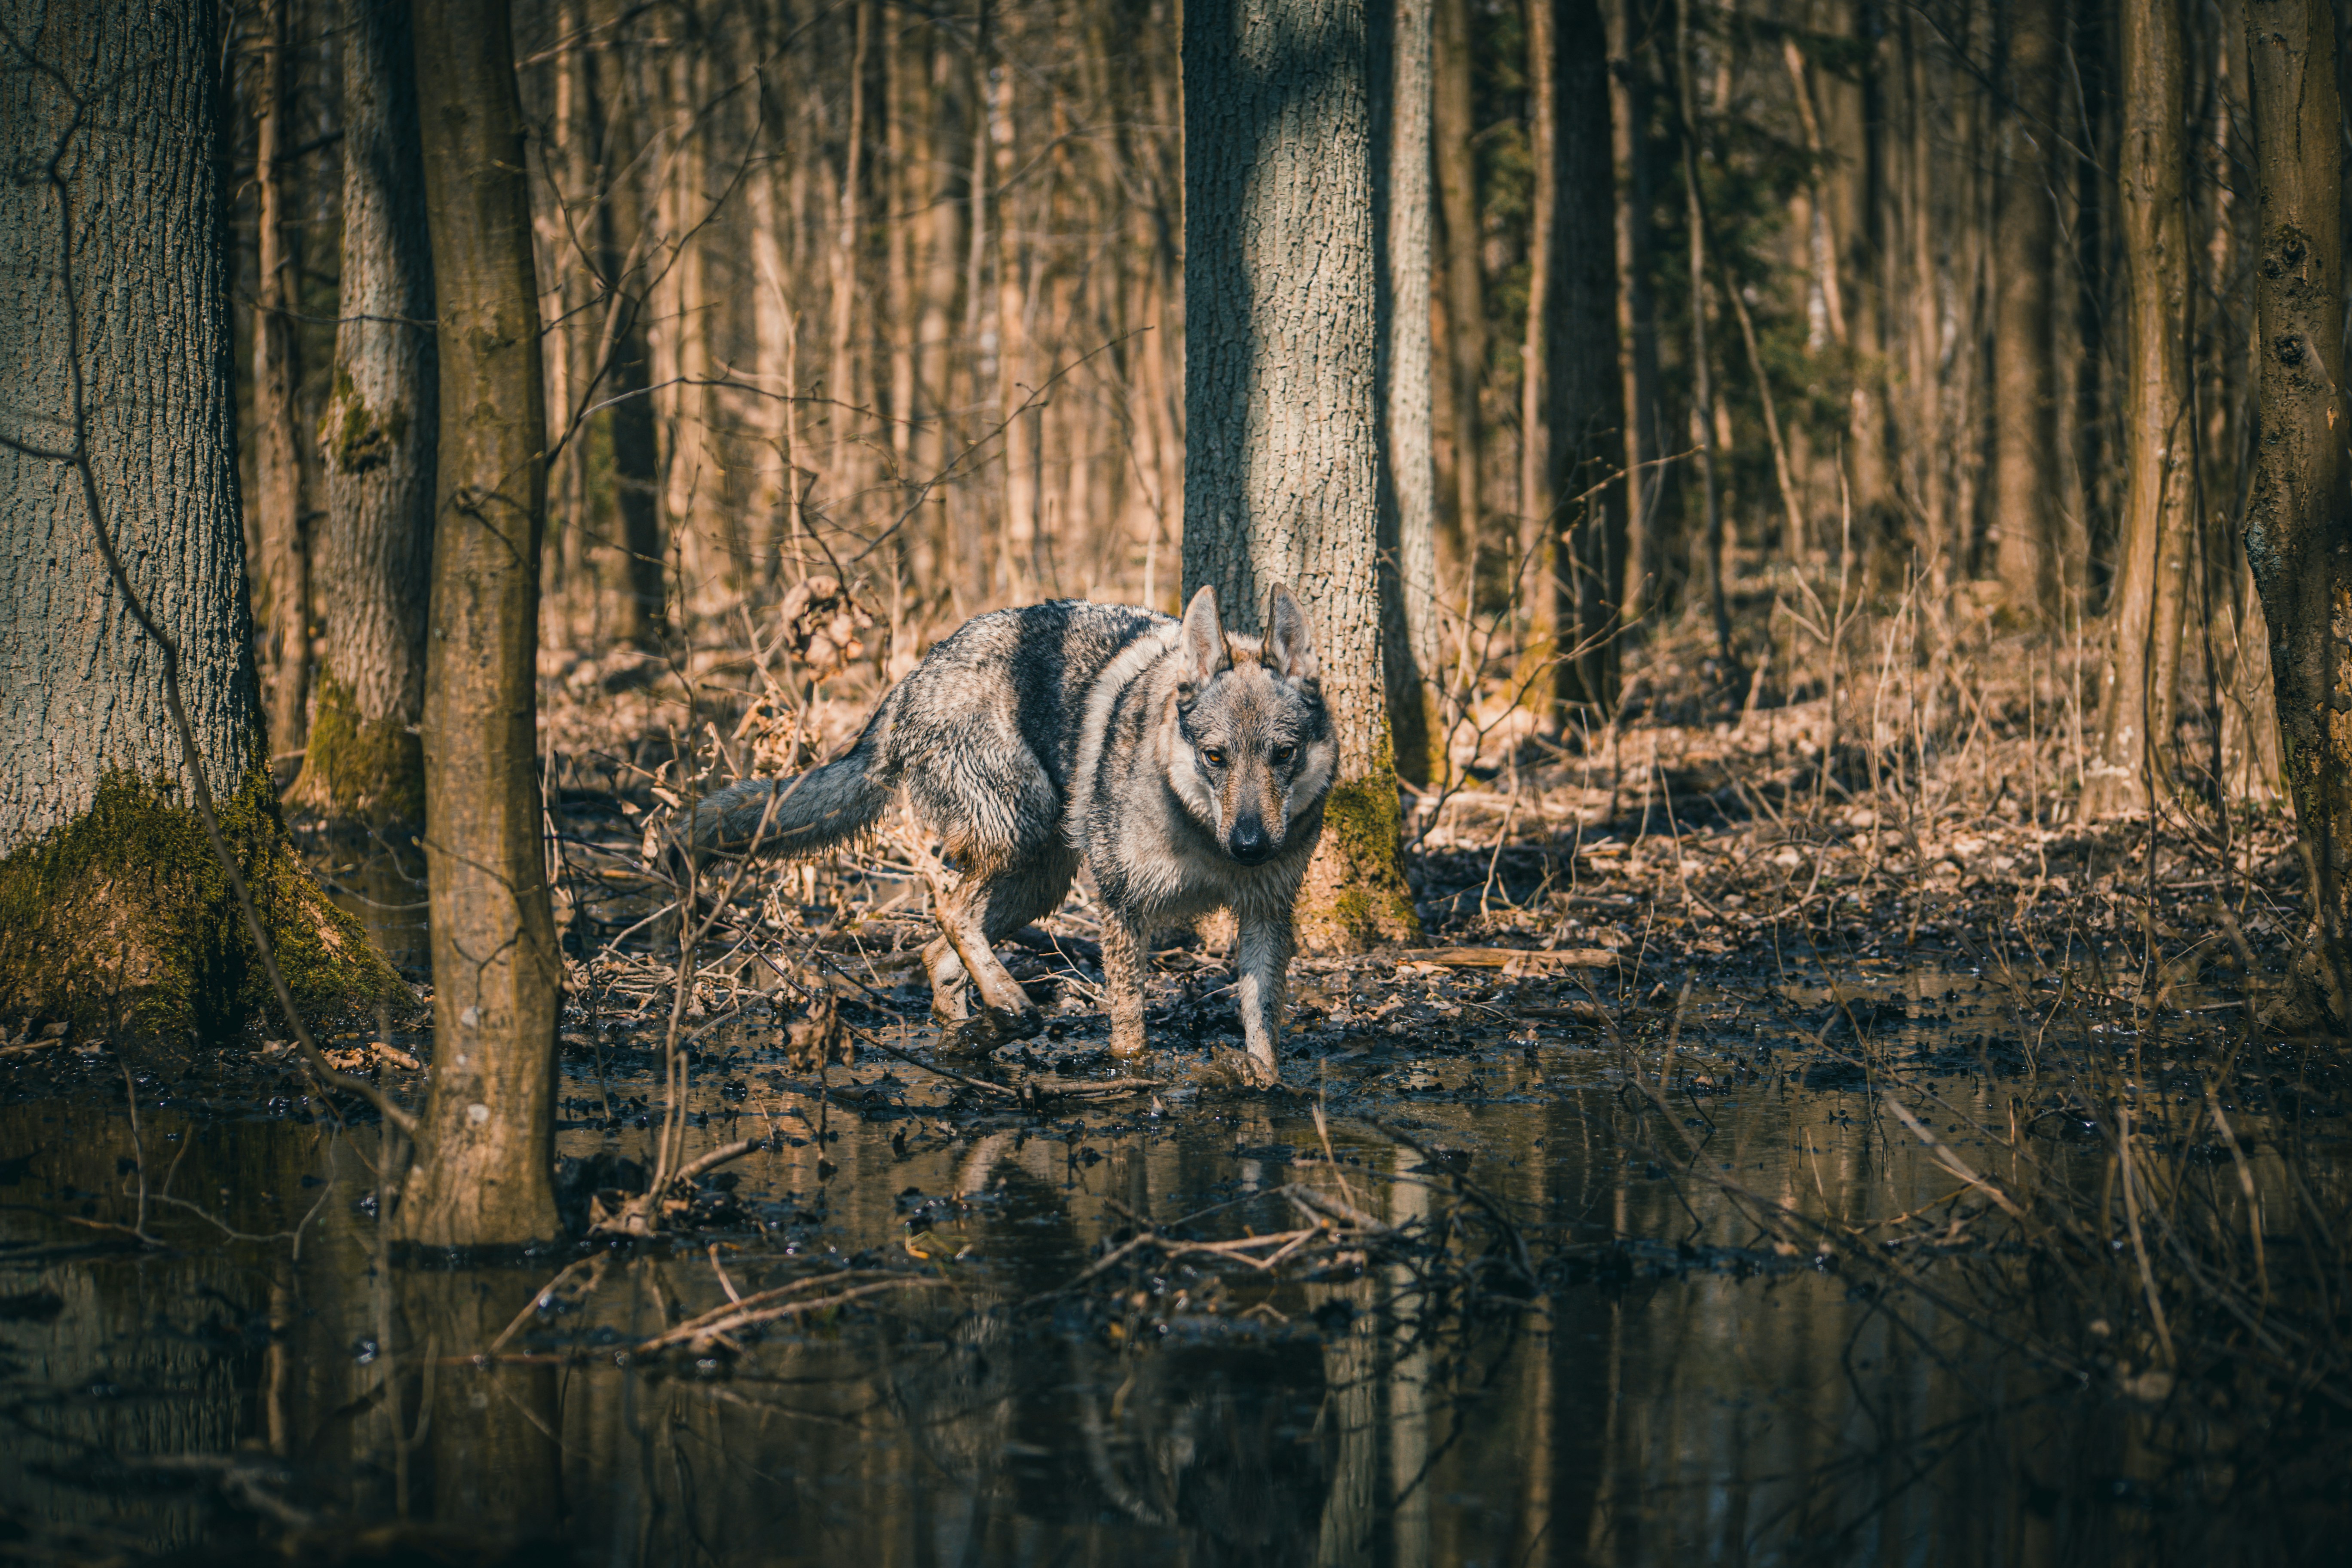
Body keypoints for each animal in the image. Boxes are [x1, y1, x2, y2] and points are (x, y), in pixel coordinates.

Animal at [691, 584, 1336, 1086]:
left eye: (1283, 754)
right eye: (1215, 756)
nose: (1251, 847)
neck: (1203, 836)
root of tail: (911, 680)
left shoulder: (1265, 915)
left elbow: (1263, 1028)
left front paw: (1265, 1086)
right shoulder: (1122, 909)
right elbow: (1130, 1028)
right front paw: (1135, 1081)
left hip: (1039, 884)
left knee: (938, 952)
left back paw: (972, 1037)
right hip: (1020, 837)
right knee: (948, 914)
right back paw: (1005, 1007)